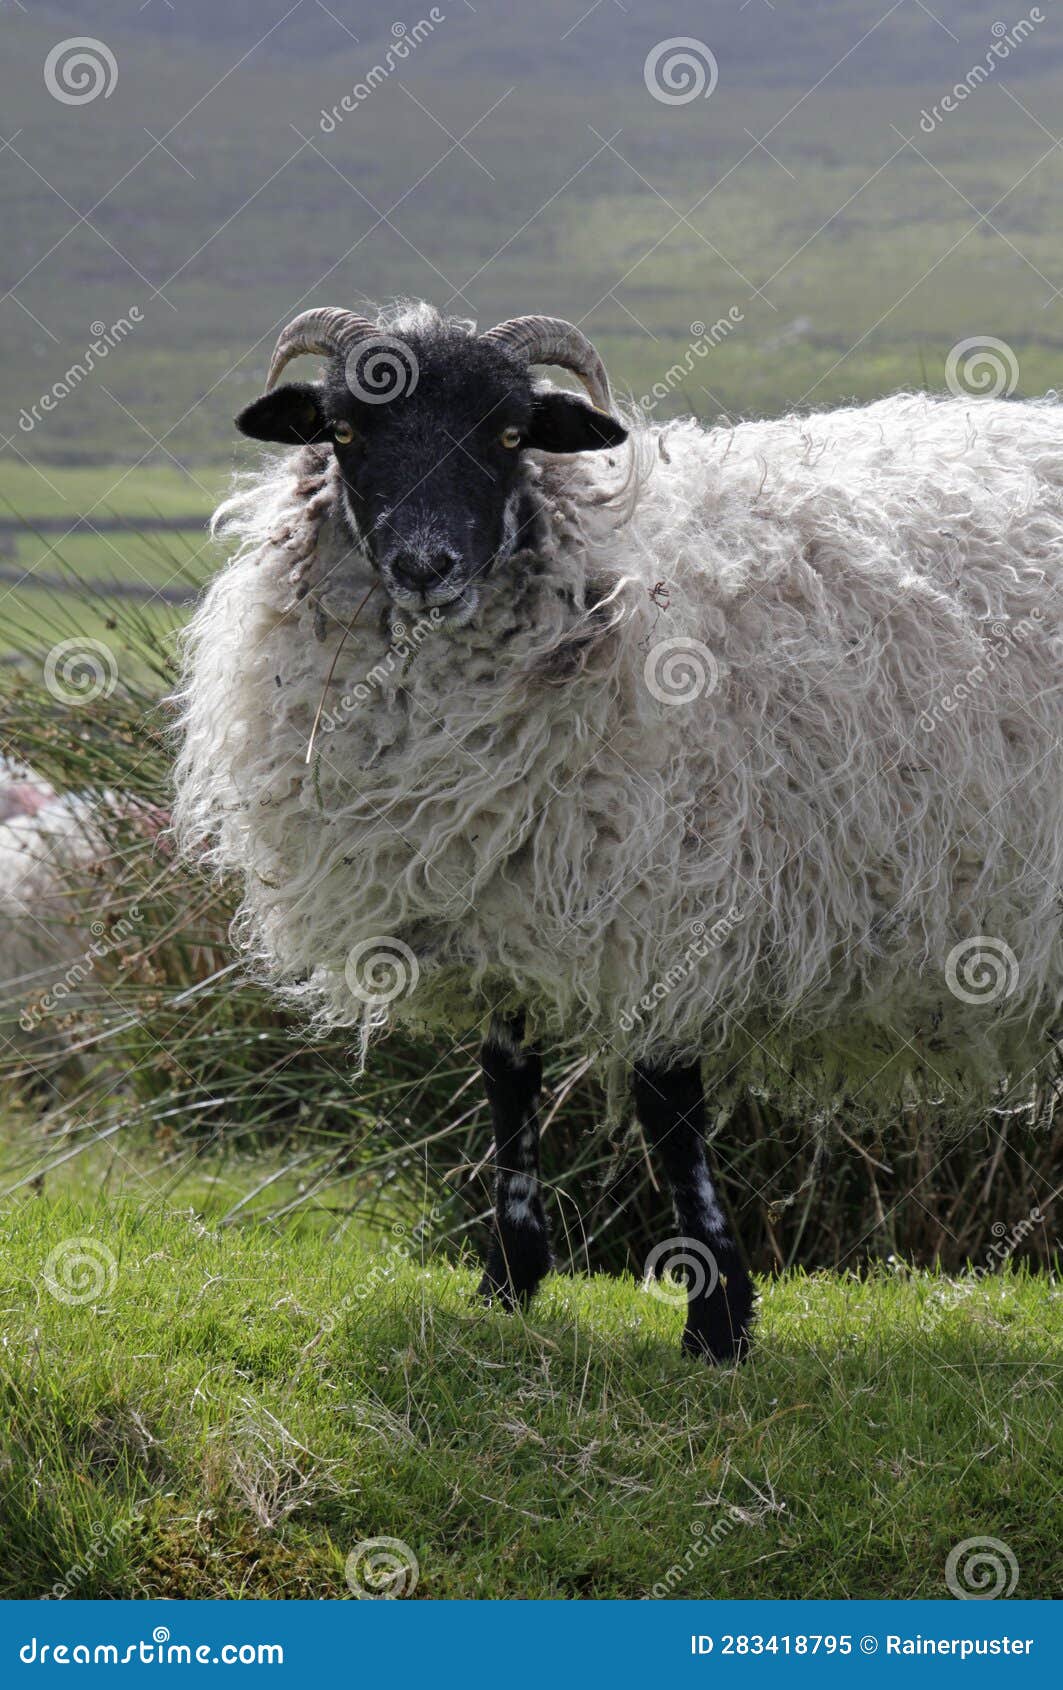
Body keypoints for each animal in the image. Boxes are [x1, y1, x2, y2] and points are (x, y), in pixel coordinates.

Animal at [173, 300, 1063, 1363]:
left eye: (509, 435)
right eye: (345, 432)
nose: (425, 566)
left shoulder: (663, 888)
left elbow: (667, 1112)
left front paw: (715, 1318)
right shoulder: (496, 892)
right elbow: (507, 1082)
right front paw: (509, 1282)